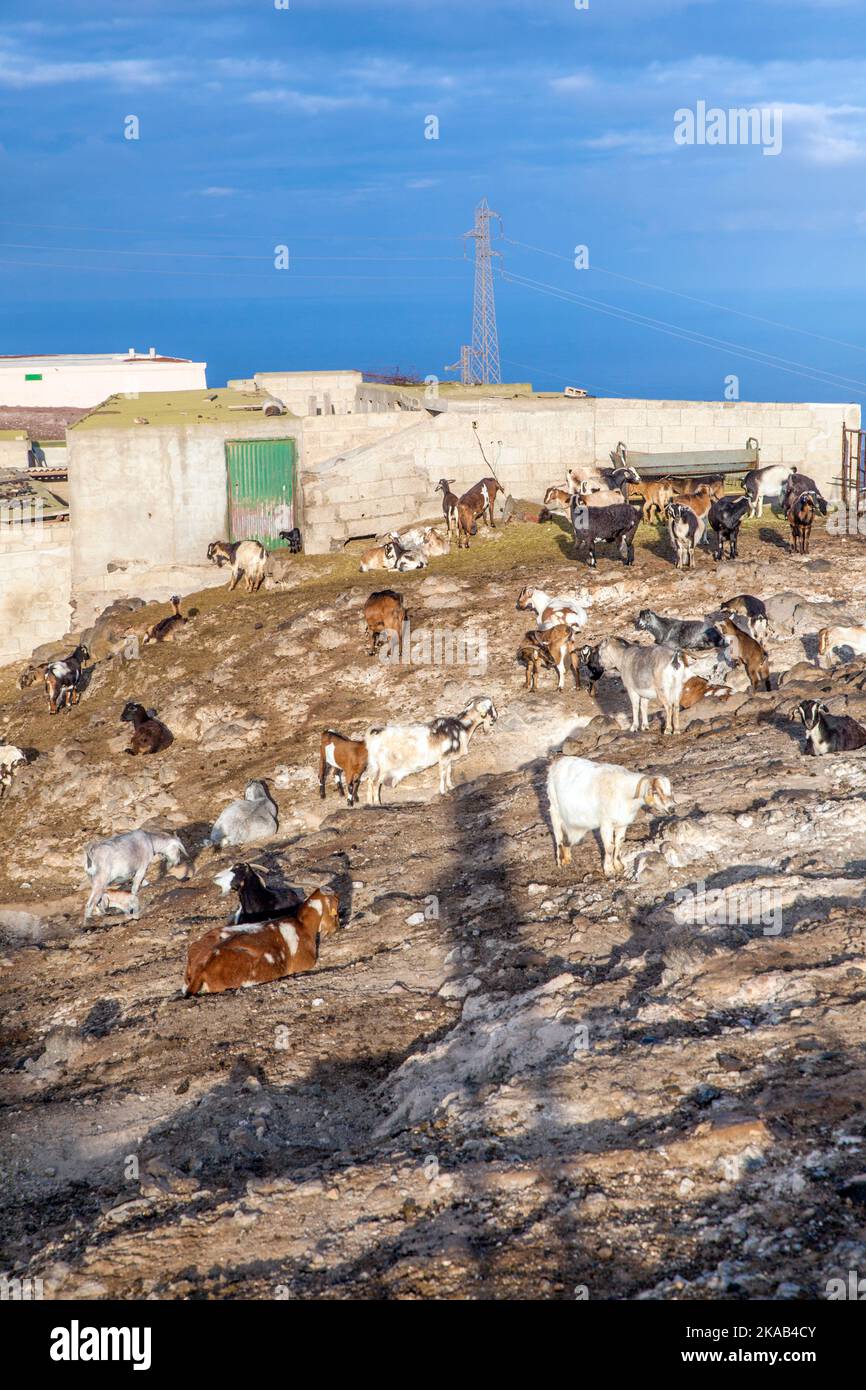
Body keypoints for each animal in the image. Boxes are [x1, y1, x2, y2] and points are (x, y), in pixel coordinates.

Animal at [364, 696, 497, 804]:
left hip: (374, 766)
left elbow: (448, 772)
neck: (461, 726)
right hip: (384, 767)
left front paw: (451, 786)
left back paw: (369, 803)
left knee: (370, 781)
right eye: (491, 707)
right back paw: (378, 803)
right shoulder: (444, 757)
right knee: (375, 783)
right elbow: (442, 774)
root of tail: (374, 734)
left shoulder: (448, 758)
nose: (495, 718)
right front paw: (443, 792)